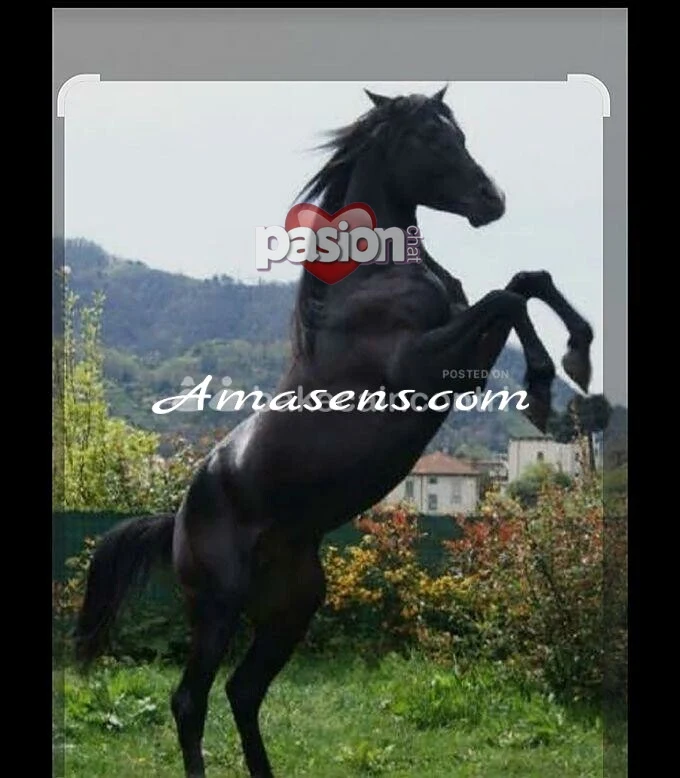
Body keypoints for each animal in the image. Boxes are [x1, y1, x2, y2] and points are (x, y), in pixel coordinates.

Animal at [74, 85, 593, 778]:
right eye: (432, 137)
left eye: (458, 131)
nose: (493, 199)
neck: (369, 278)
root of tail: (178, 516)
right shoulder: (423, 366)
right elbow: (506, 299)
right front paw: (541, 387)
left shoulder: (458, 360)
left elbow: (525, 284)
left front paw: (577, 355)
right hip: (216, 607)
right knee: (190, 700)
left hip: (292, 606)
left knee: (243, 691)